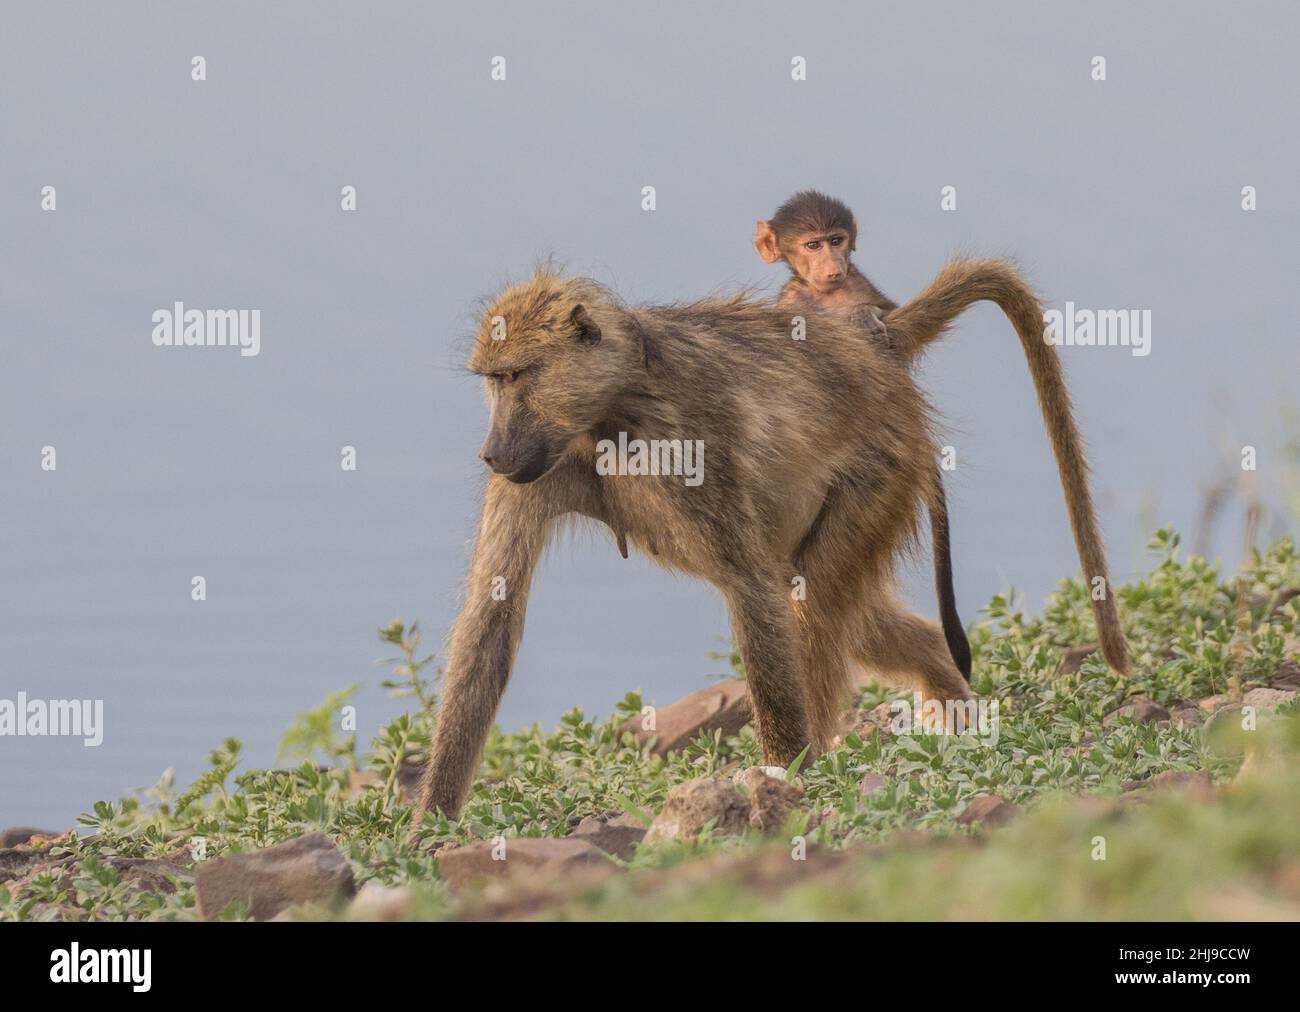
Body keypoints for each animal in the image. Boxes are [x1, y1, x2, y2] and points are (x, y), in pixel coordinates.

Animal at [415, 257, 1130, 821]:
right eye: (493, 380)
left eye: (516, 376)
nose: (490, 454)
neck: (608, 409)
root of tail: (868, 347)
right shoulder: (535, 469)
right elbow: (491, 617)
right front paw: (430, 830)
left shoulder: (690, 441)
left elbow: (748, 584)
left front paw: (781, 772)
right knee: (848, 613)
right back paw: (948, 697)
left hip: (883, 469)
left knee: (809, 601)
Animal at [756, 190, 971, 680]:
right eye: (812, 245)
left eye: (837, 240)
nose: (832, 265)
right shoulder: (791, 299)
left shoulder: (862, 285)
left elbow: (882, 317)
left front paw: (863, 319)